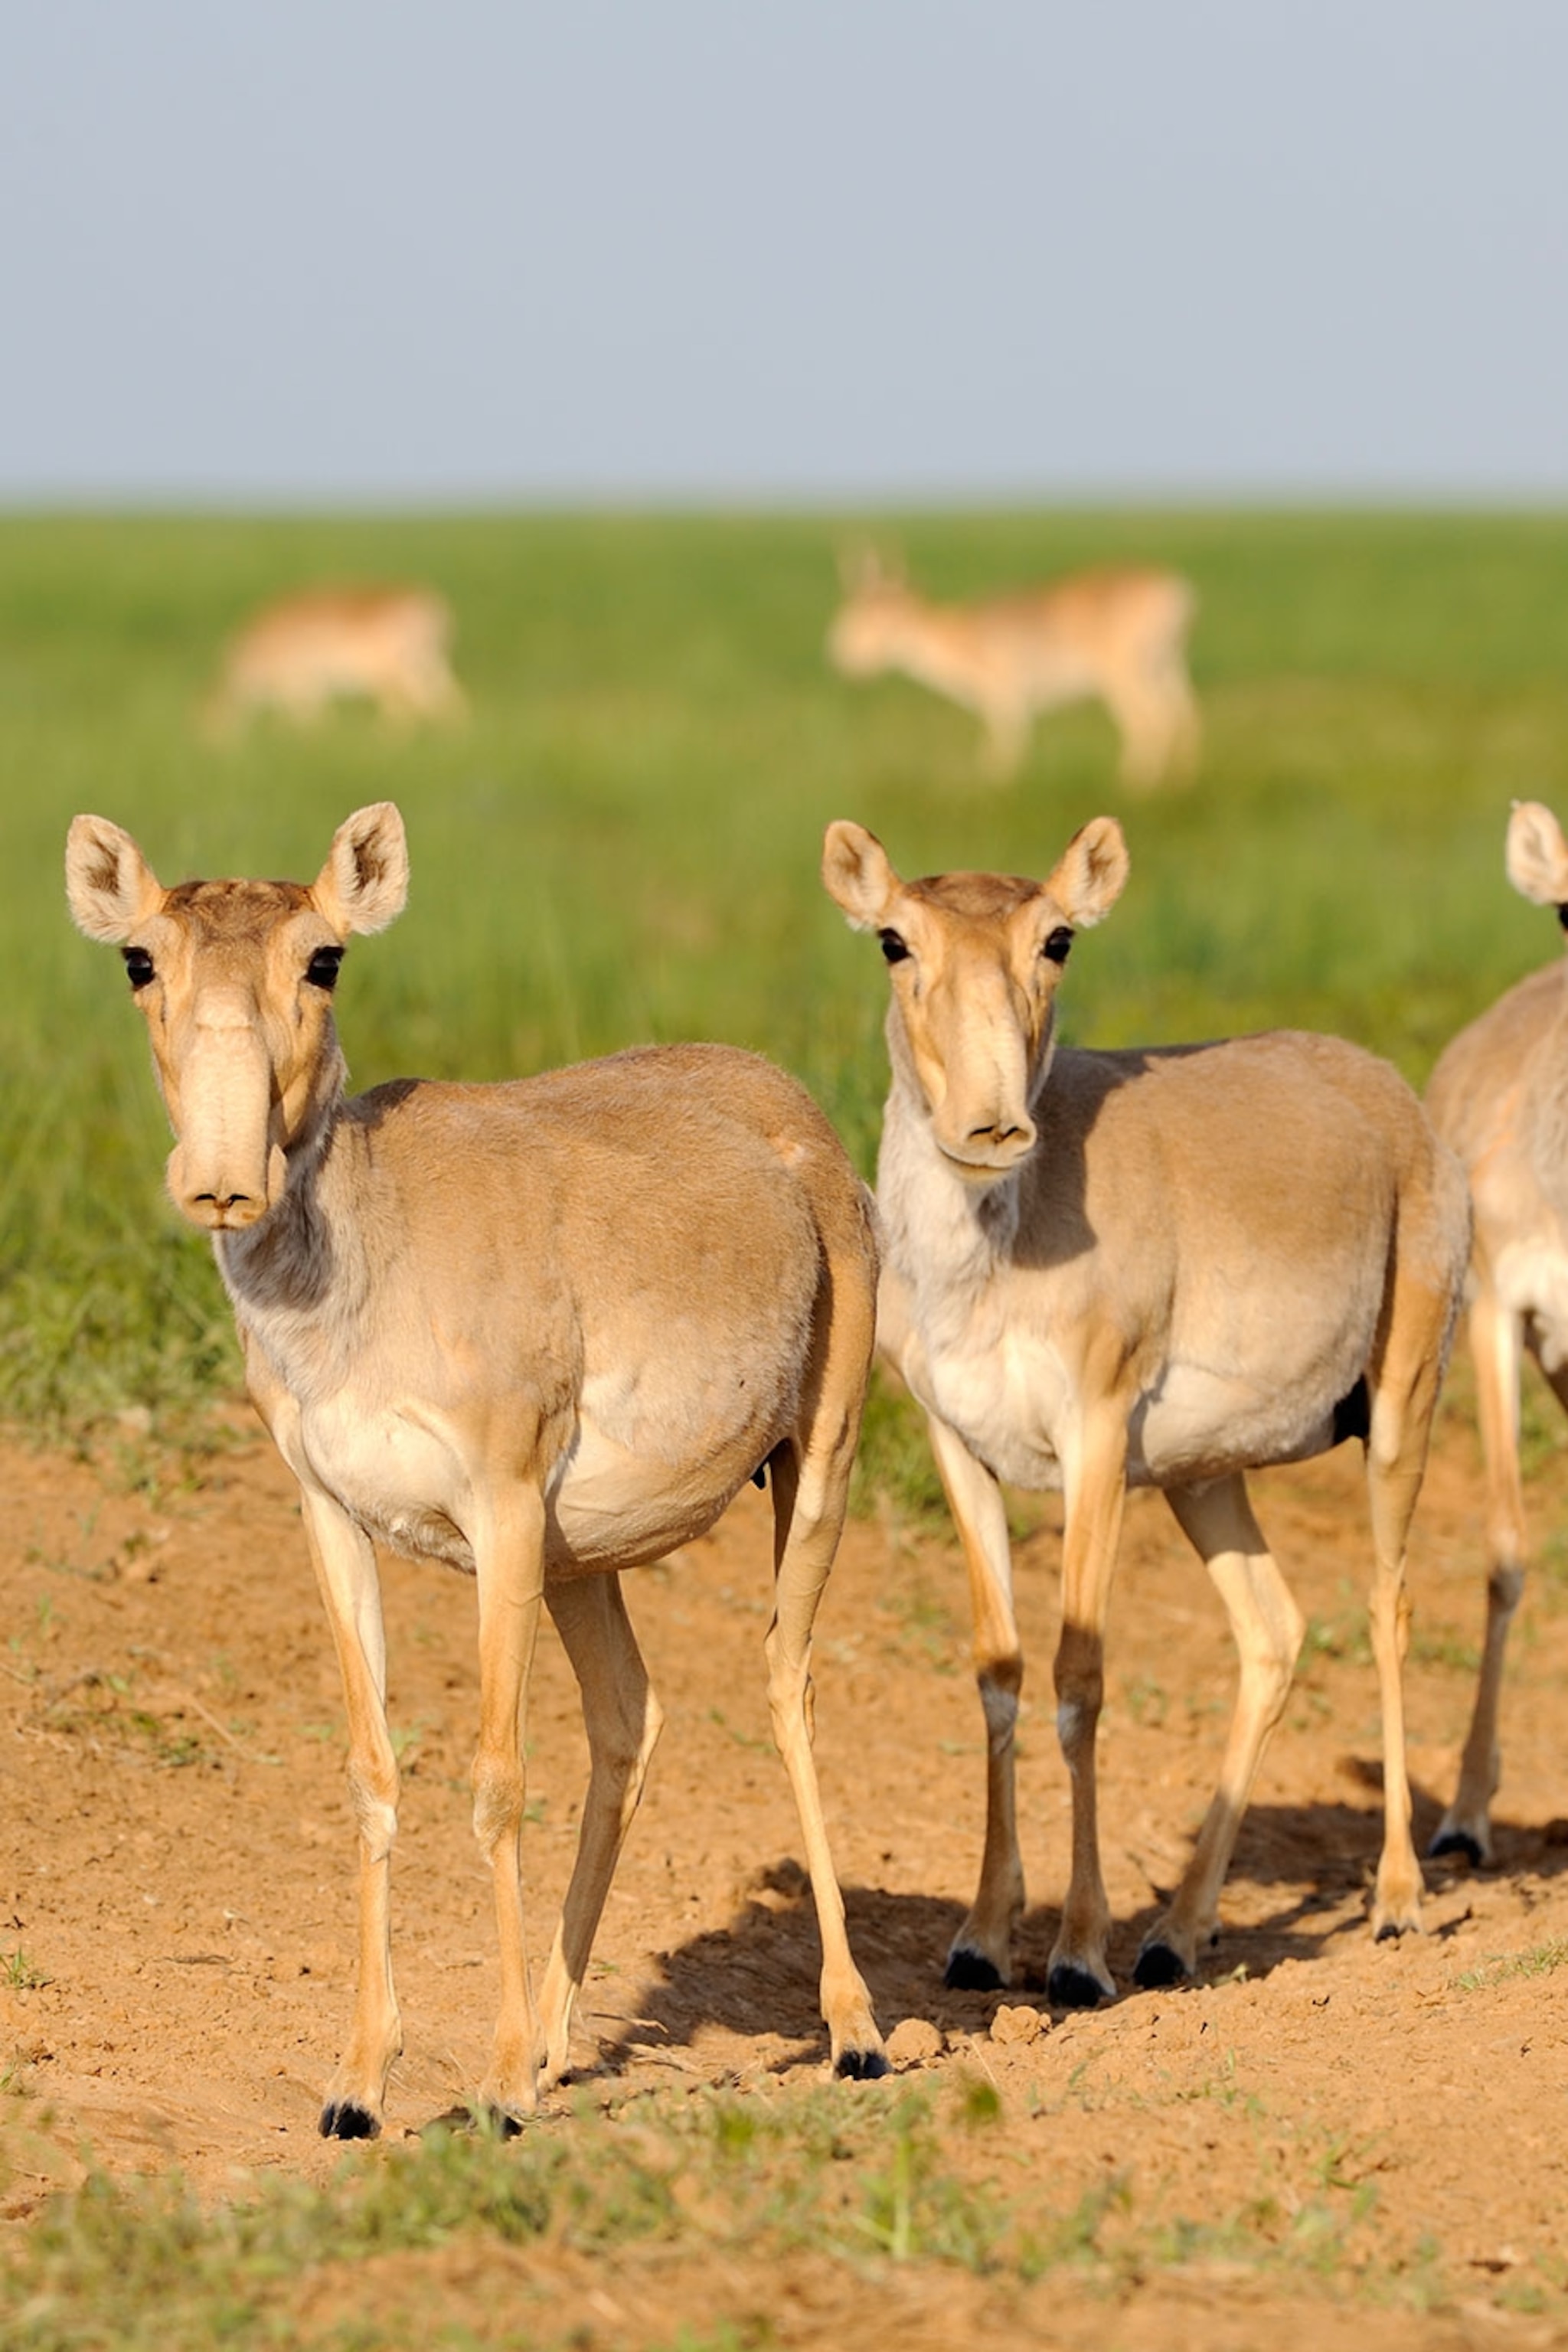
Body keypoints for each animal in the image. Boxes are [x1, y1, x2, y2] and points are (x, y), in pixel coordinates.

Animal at [65, 802, 886, 2136]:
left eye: (324, 958)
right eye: (141, 958)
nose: (223, 1179)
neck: (367, 1256)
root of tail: (791, 1111)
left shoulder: (499, 1510)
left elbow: (499, 1777)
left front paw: (495, 2086)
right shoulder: (332, 1515)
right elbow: (371, 1771)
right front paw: (359, 2085)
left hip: (818, 1467)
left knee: (787, 1686)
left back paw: (852, 2032)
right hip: (585, 1564)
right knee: (631, 1717)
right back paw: (556, 2043)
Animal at [204, 586, 466, 733]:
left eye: (201, 723)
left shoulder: (296, 682)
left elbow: (305, 715)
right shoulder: (304, 684)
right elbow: (309, 715)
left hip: (384, 669)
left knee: (404, 705)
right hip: (423, 662)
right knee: (442, 695)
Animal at [824, 816, 1469, 2003]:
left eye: (1058, 939)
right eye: (894, 938)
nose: (991, 1128)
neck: (998, 1248)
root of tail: (1389, 1095)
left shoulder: (1092, 1442)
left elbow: (1079, 1674)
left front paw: (1078, 1955)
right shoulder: (957, 1445)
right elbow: (998, 1668)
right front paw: (980, 1940)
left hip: (1402, 1406)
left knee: (1386, 1608)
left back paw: (1397, 1899)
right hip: (1202, 1479)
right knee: (1274, 1632)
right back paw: (1177, 1931)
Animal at [826, 549, 1200, 787]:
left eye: (870, 618)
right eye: (850, 613)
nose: (839, 656)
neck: (958, 635)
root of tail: (1176, 593)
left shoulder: (1002, 694)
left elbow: (1005, 747)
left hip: (1123, 673)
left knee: (1150, 721)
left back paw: (1134, 787)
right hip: (1168, 665)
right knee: (1184, 716)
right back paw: (1182, 780)